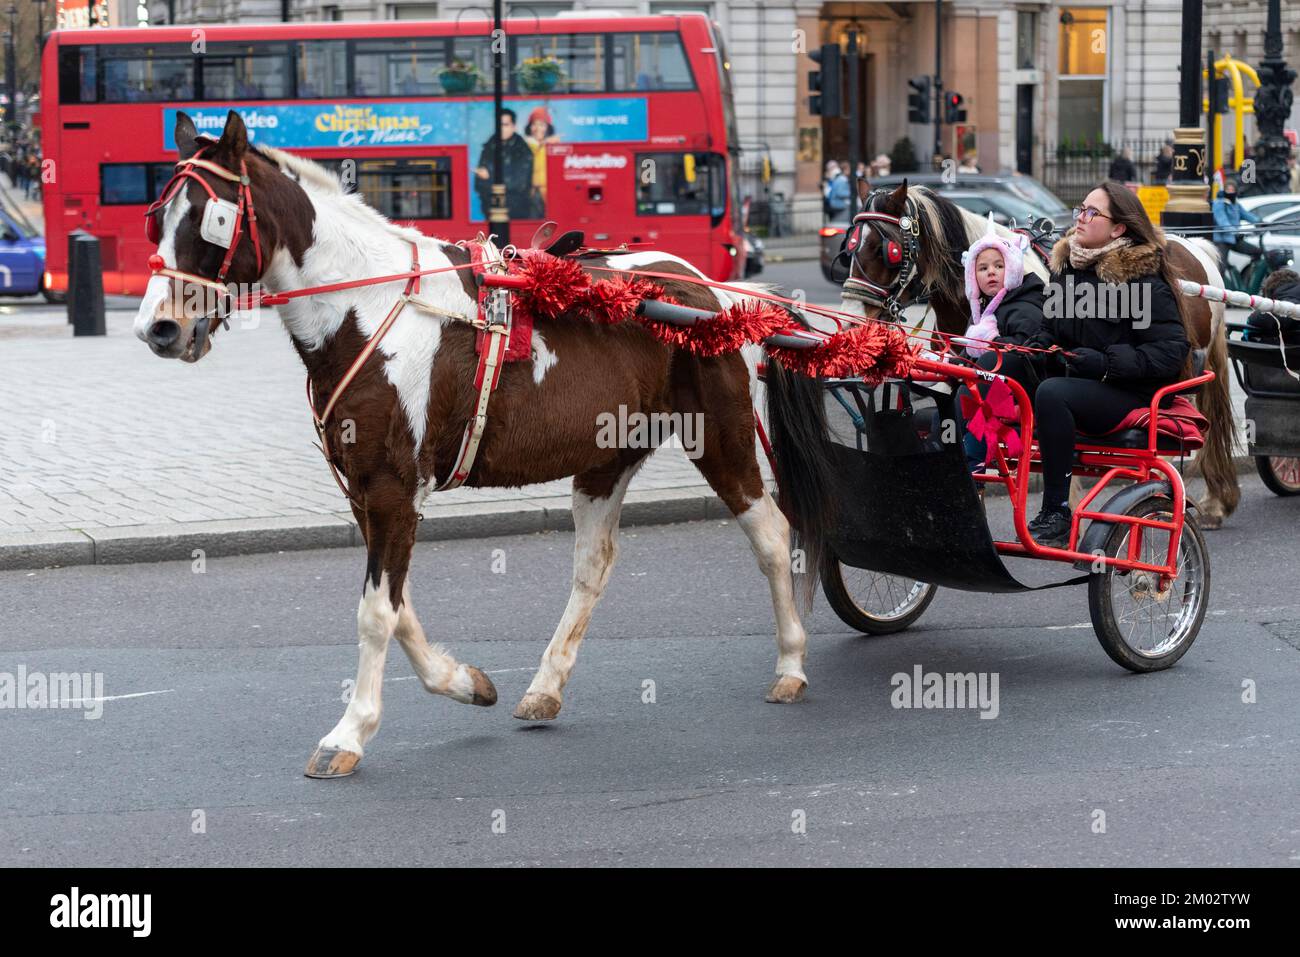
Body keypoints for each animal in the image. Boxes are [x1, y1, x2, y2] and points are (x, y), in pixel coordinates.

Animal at [134, 110, 811, 778]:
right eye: (156, 219)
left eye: (210, 217)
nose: (157, 328)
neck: (368, 305)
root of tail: (708, 289)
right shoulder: (366, 490)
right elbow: (398, 605)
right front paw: (461, 681)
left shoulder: (393, 486)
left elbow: (376, 613)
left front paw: (350, 731)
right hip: (607, 456)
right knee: (593, 564)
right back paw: (546, 684)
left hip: (718, 433)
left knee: (773, 536)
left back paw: (791, 664)